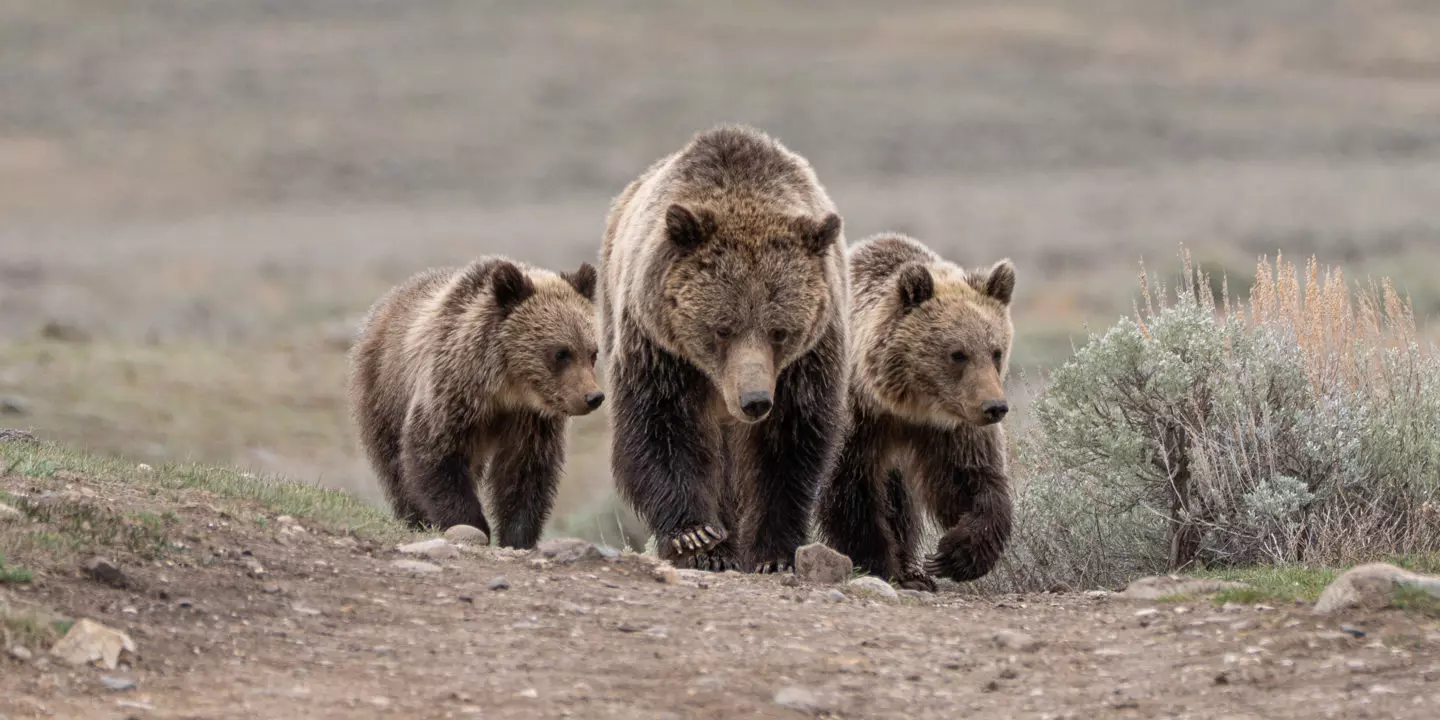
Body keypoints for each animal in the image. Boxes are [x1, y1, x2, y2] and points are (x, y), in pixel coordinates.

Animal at [347, 256, 603, 547]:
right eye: (561, 353)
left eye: (592, 352)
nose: (593, 397)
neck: (505, 388)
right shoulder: (452, 392)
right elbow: (435, 455)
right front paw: (471, 525)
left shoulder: (530, 419)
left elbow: (525, 472)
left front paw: (517, 536)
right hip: (383, 388)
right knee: (394, 465)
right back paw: (414, 518)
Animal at [597, 125, 849, 573]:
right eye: (721, 329)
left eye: (779, 331)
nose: (754, 401)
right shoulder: (660, 350)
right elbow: (660, 426)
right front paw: (697, 539)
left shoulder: (808, 360)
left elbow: (789, 445)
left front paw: (774, 554)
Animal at [817, 233, 1016, 591]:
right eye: (958, 353)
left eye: (995, 351)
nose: (995, 407)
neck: (907, 406)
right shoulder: (859, 421)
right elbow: (850, 489)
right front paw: (882, 565)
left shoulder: (952, 428)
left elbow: (971, 481)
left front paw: (951, 556)